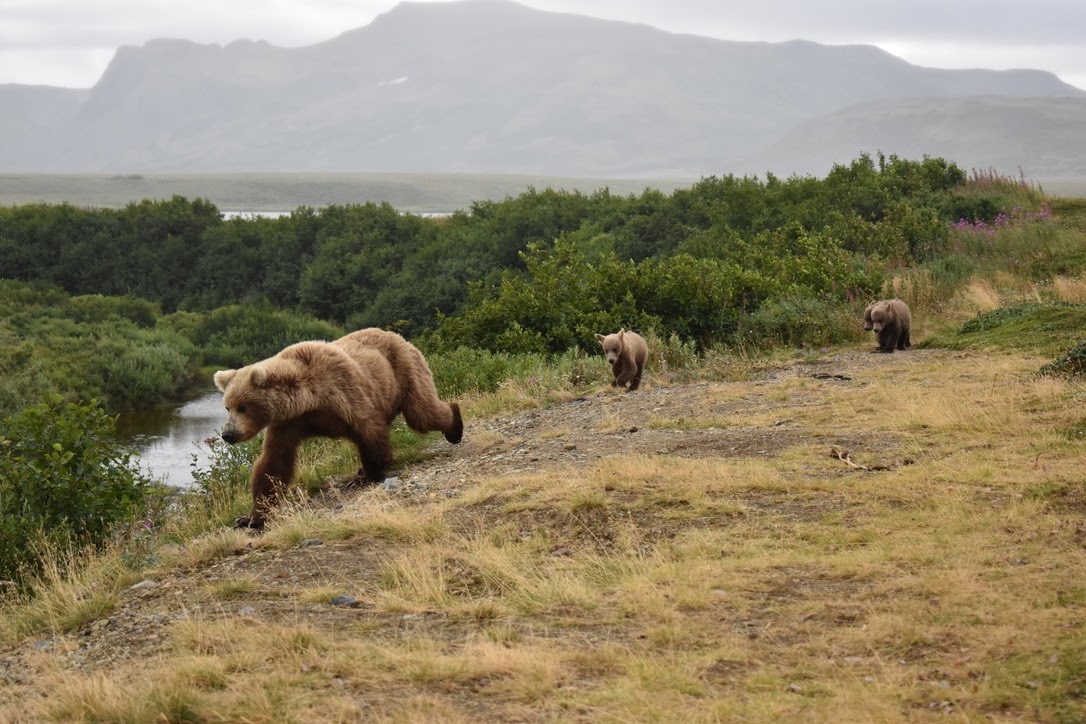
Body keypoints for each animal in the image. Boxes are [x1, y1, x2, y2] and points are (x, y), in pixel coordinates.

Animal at [214, 329, 462, 529]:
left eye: (243, 406)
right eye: (227, 406)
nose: (228, 434)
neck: (308, 399)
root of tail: (396, 335)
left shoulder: (343, 393)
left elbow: (370, 430)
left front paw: (369, 475)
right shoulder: (288, 423)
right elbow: (273, 463)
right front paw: (251, 517)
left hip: (403, 370)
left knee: (422, 412)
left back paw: (455, 427)